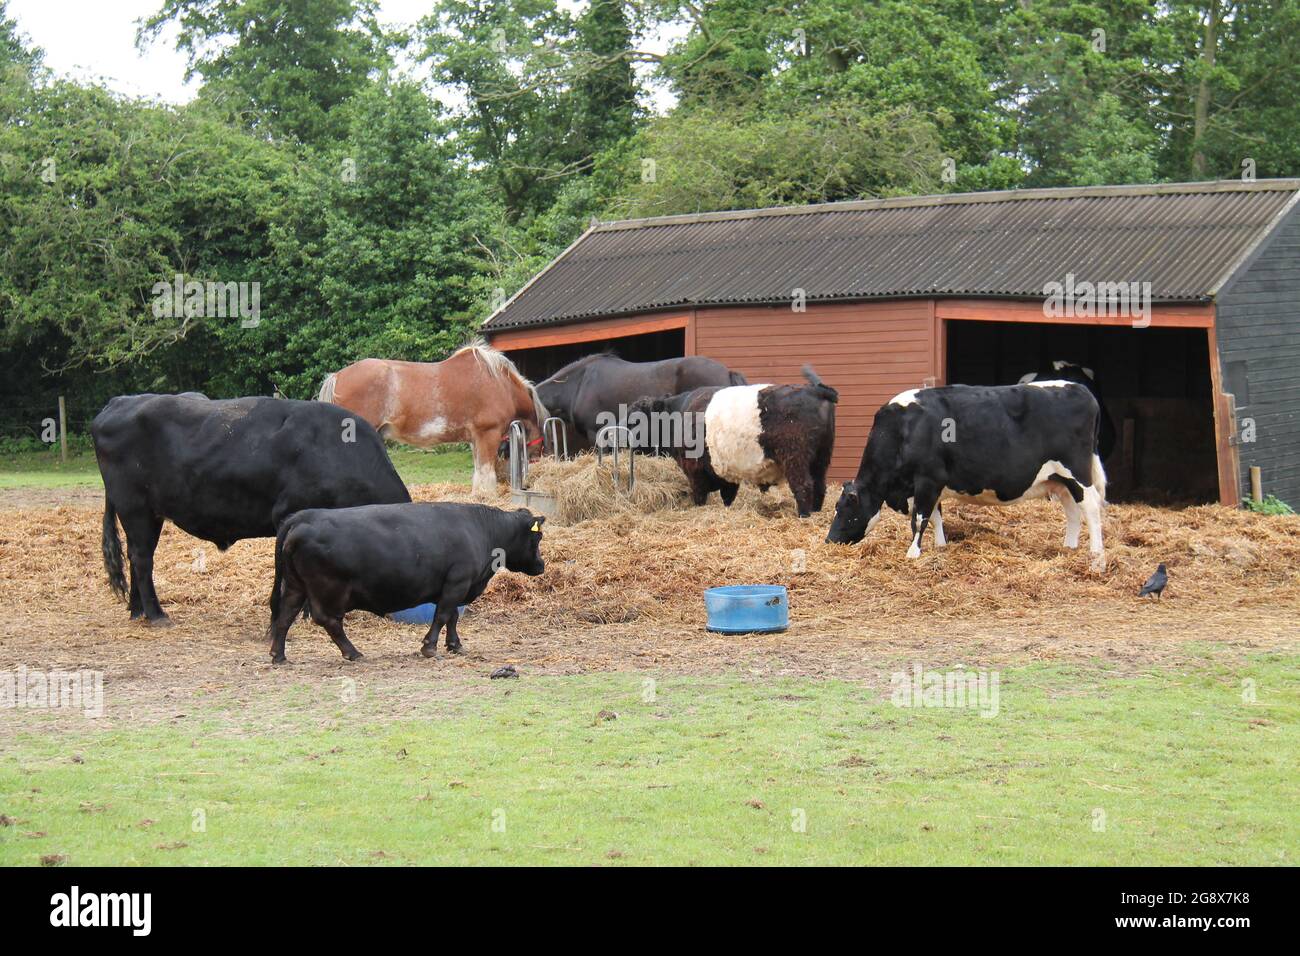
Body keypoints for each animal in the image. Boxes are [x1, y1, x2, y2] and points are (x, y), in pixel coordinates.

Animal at [92, 394, 411, 625]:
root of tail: (121, 401)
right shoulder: (289, 513)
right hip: (135, 507)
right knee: (142, 558)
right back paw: (156, 615)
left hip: (145, 513)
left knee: (136, 556)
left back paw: (137, 610)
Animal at [269, 503, 546, 663]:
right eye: (538, 538)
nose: (541, 565)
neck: (481, 529)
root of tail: (303, 516)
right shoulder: (457, 582)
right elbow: (443, 615)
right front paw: (430, 647)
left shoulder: (455, 587)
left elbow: (453, 616)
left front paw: (455, 645)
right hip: (329, 590)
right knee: (328, 621)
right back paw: (352, 652)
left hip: (295, 587)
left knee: (284, 617)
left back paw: (278, 655)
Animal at [318, 341, 548, 495]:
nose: (539, 462)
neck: (501, 385)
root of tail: (338, 376)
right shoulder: (488, 434)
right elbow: (486, 469)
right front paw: (487, 495)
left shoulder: (476, 438)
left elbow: (478, 469)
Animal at [628, 366, 838, 517]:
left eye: (635, 419)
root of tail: (816, 390)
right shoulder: (725, 472)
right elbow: (727, 497)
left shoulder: (695, 472)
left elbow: (700, 497)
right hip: (821, 458)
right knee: (819, 486)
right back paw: (816, 512)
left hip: (795, 458)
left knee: (804, 486)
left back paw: (804, 515)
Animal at [825, 381, 1107, 570]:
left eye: (844, 510)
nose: (829, 541)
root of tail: (1081, 389)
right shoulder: (932, 485)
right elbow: (936, 517)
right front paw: (940, 546)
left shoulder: (927, 479)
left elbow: (920, 518)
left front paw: (913, 553)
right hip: (1059, 479)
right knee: (1072, 511)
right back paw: (1068, 548)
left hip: (1077, 473)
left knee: (1091, 508)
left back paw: (1096, 557)